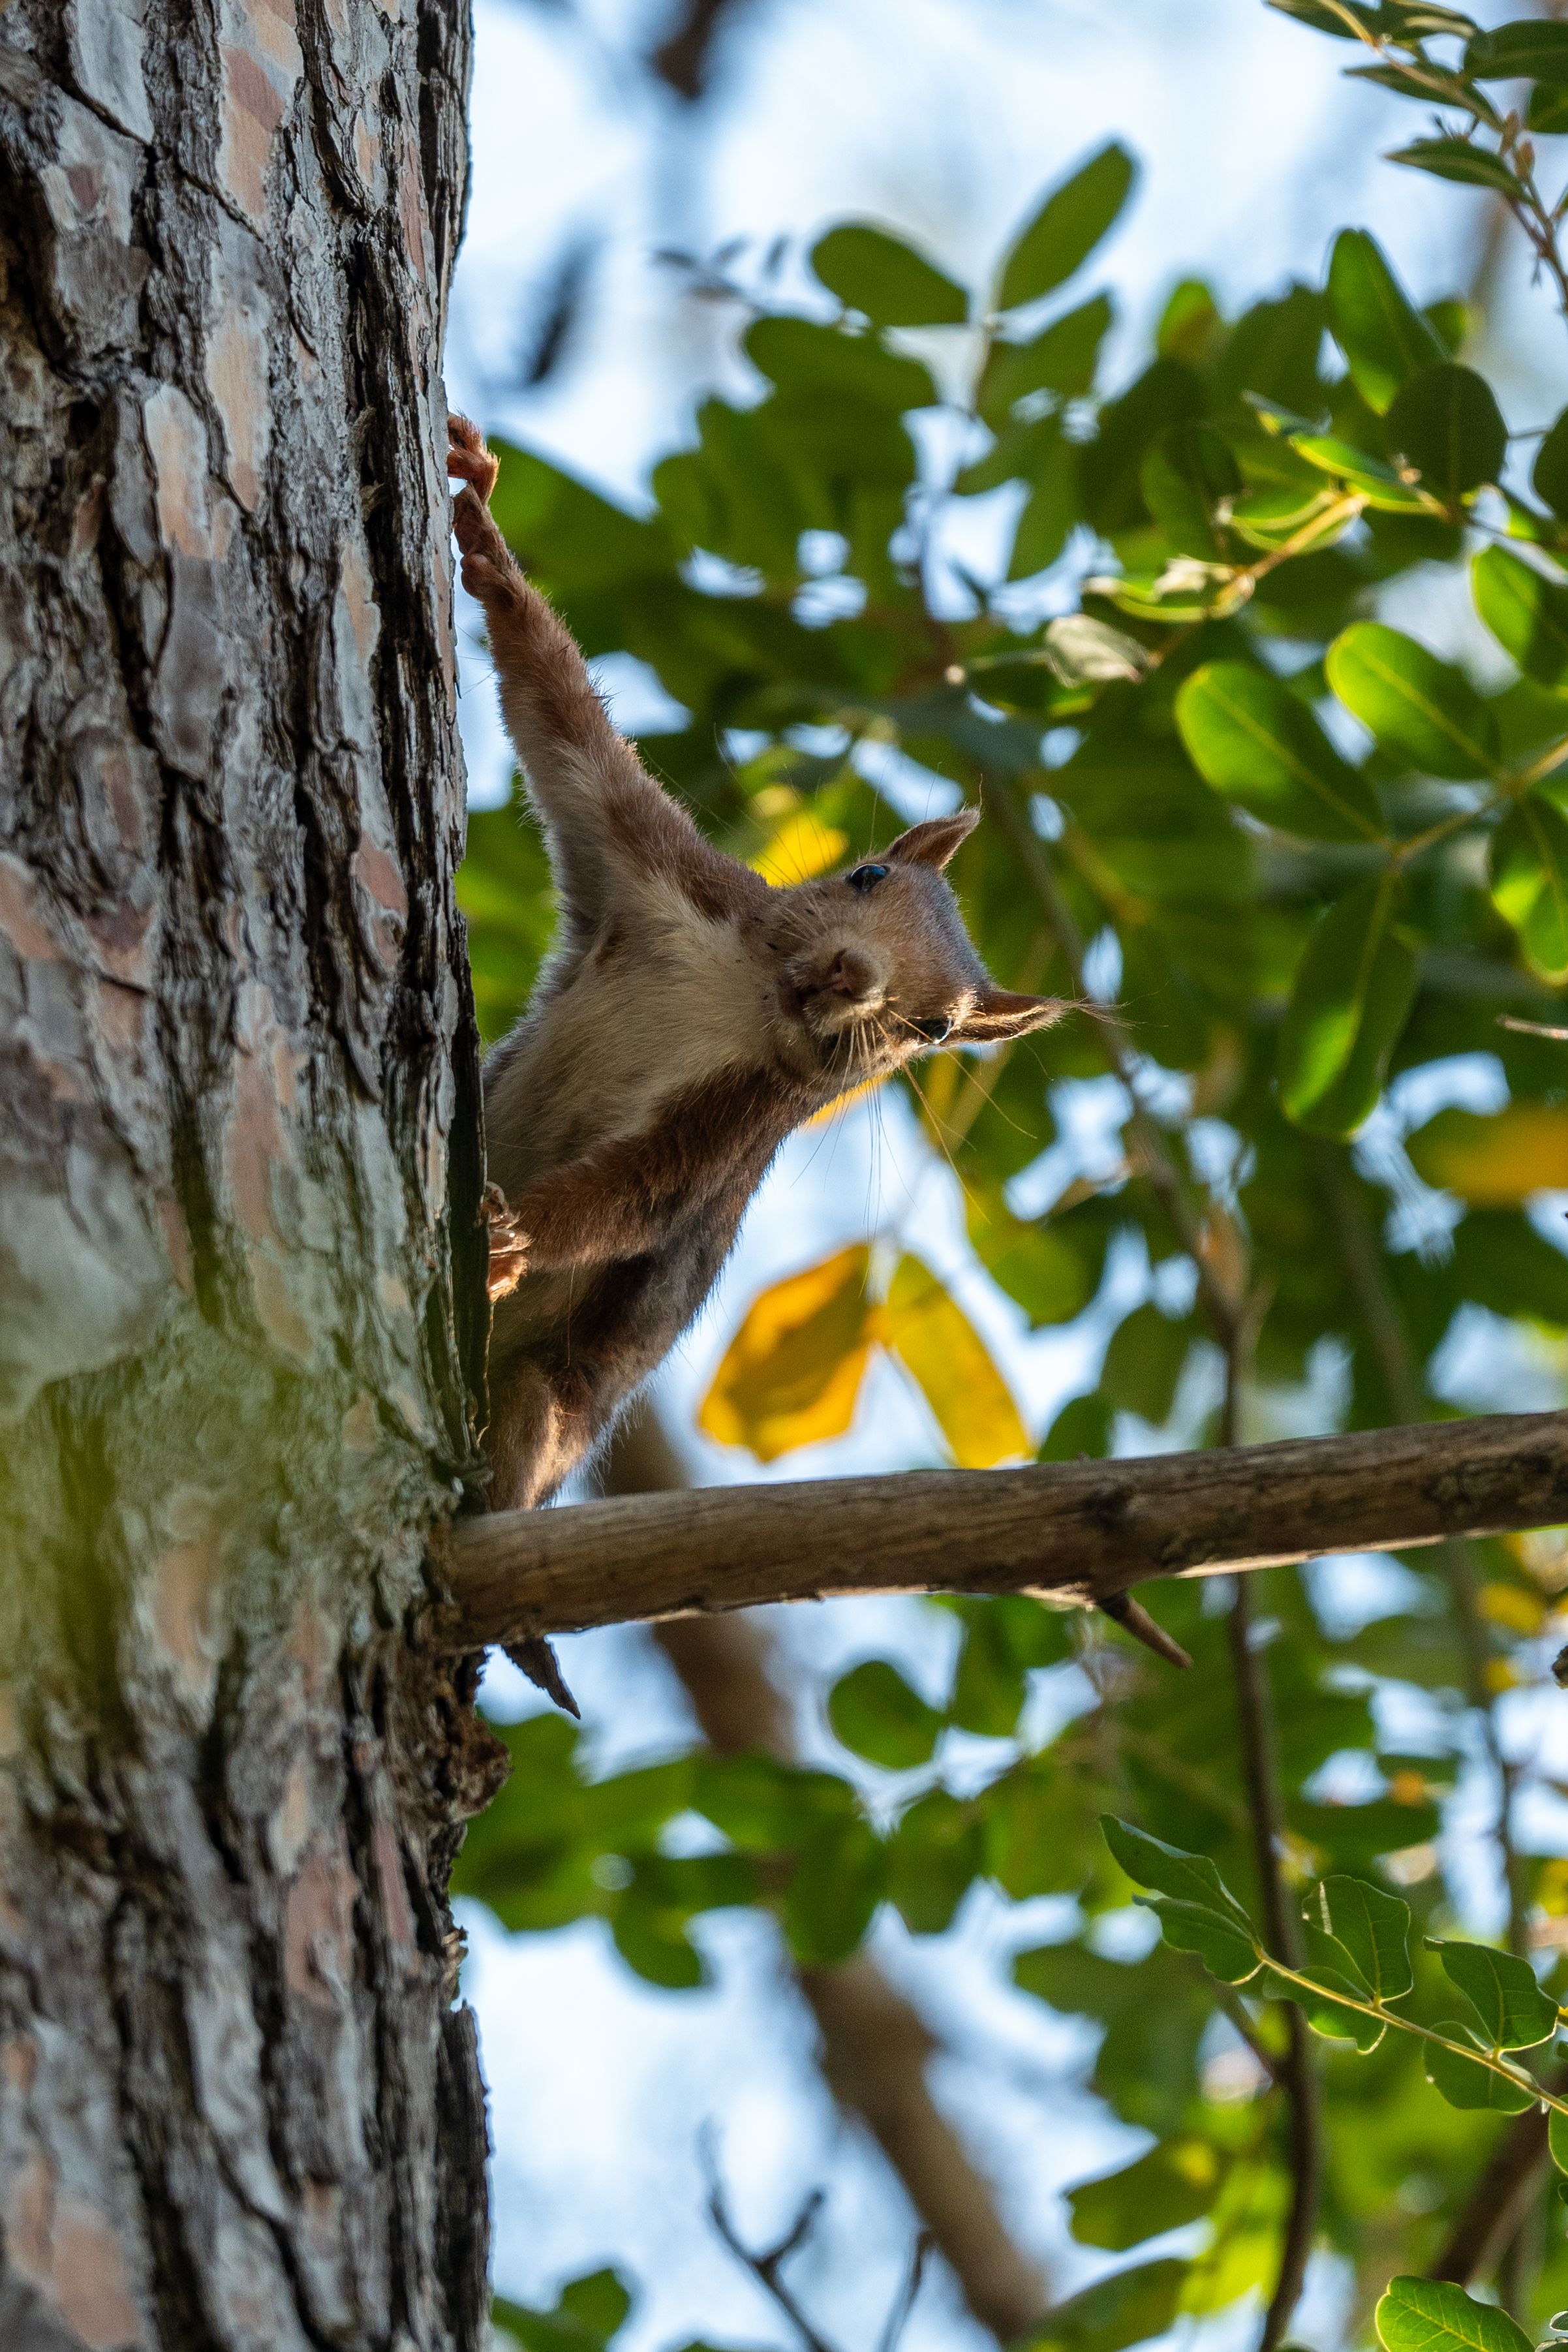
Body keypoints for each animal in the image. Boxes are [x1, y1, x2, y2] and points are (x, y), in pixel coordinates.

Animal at [447, 413, 1066, 1707]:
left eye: (934, 1030)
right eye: (867, 873)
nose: (852, 979)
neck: (745, 998)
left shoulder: (735, 1124)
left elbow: (637, 1197)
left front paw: (517, 1238)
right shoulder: (650, 872)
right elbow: (557, 720)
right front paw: (482, 528)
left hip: (552, 1399)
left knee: (525, 1454)